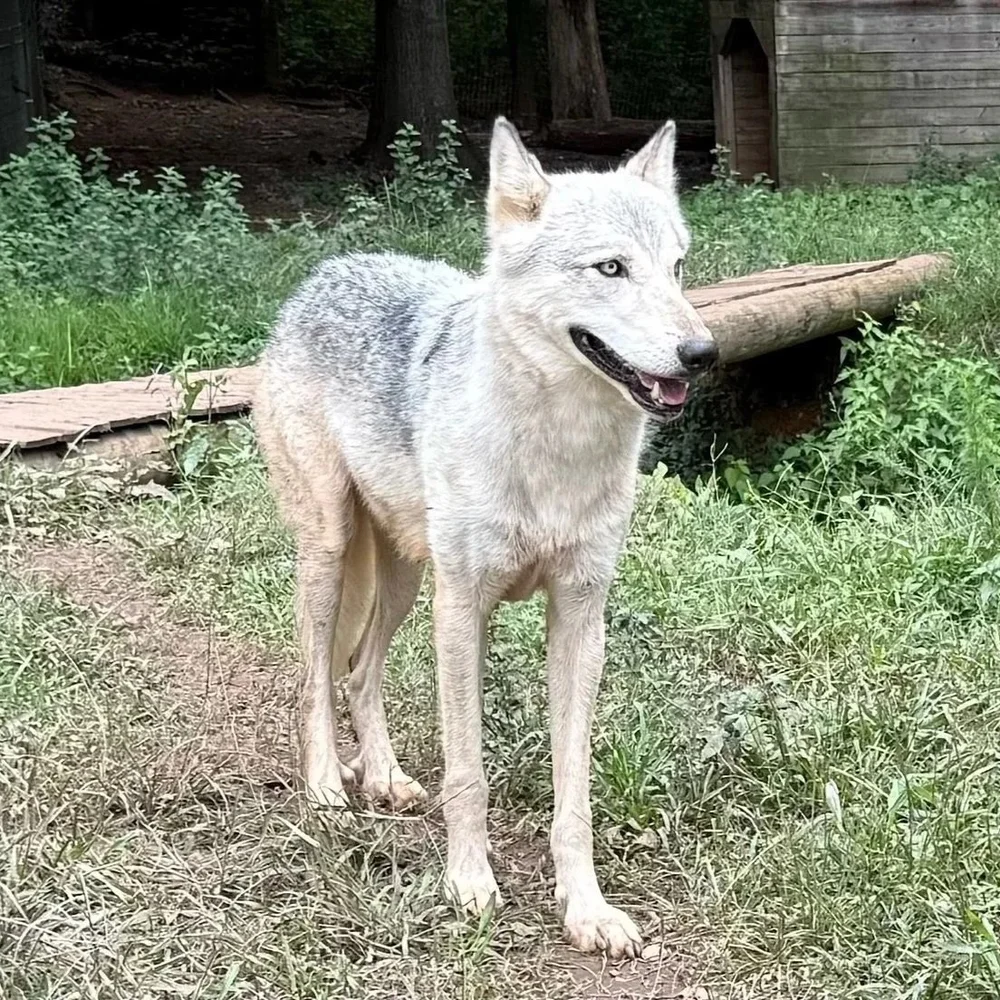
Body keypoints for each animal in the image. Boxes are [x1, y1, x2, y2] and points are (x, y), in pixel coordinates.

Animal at [253, 116, 718, 958]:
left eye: (676, 268)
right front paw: (469, 884)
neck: (557, 451)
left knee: (360, 672)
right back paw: (329, 790)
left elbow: (575, 794)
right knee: (314, 680)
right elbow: (467, 773)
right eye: (611, 268)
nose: (704, 354)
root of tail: (328, 270)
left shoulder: (579, 618)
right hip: (338, 558)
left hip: (408, 582)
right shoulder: (464, 610)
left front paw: (586, 910)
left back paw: (385, 778)